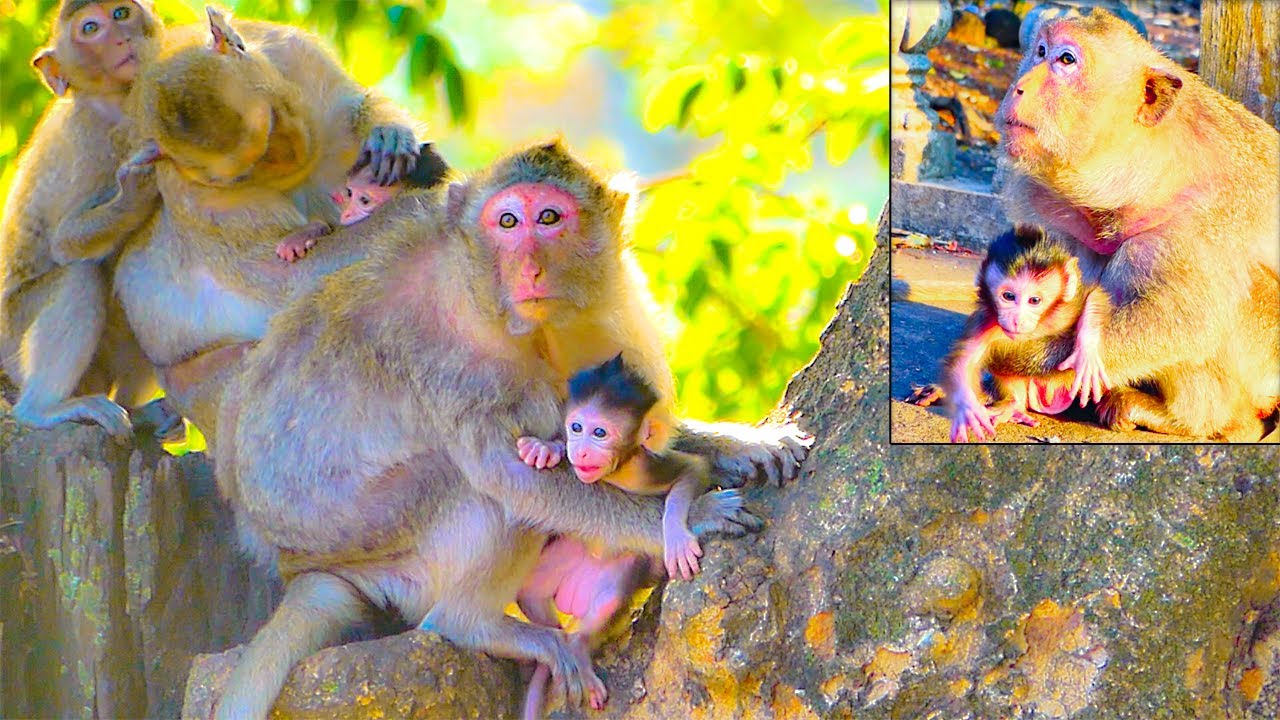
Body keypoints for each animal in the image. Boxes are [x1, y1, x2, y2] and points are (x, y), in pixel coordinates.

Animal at [0, 0, 184, 441]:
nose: (120, 37)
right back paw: (41, 409)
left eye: (120, 14)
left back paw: (140, 414)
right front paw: (138, 191)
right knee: (79, 277)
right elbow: (65, 243)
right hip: (15, 340)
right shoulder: (89, 140)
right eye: (89, 29)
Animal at [112, 6, 423, 445]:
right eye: (246, 172)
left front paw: (389, 133)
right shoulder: (206, 204)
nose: (294, 157)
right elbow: (288, 281)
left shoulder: (297, 53)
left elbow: (353, 109)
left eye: (271, 122)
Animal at [515, 352, 710, 718]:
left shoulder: (649, 467)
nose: (581, 451)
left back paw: (575, 649)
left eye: (600, 432)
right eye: (576, 428)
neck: (616, 472)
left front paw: (676, 535)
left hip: (613, 572)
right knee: (530, 593)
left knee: (607, 600)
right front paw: (544, 449)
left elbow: (694, 470)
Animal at [940, 227, 1112, 443]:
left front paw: (1087, 354)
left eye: (1034, 300)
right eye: (1008, 296)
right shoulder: (986, 321)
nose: (1017, 320)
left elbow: (1094, 295)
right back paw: (1013, 406)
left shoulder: (1067, 307)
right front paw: (967, 408)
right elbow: (964, 362)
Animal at [995, 10, 1280, 441]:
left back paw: (1193, 421)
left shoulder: (1198, 225)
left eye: (1066, 60)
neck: (1143, 169)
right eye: (1040, 51)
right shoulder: (1045, 201)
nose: (1018, 87)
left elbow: (1183, 322)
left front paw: (1019, 357)